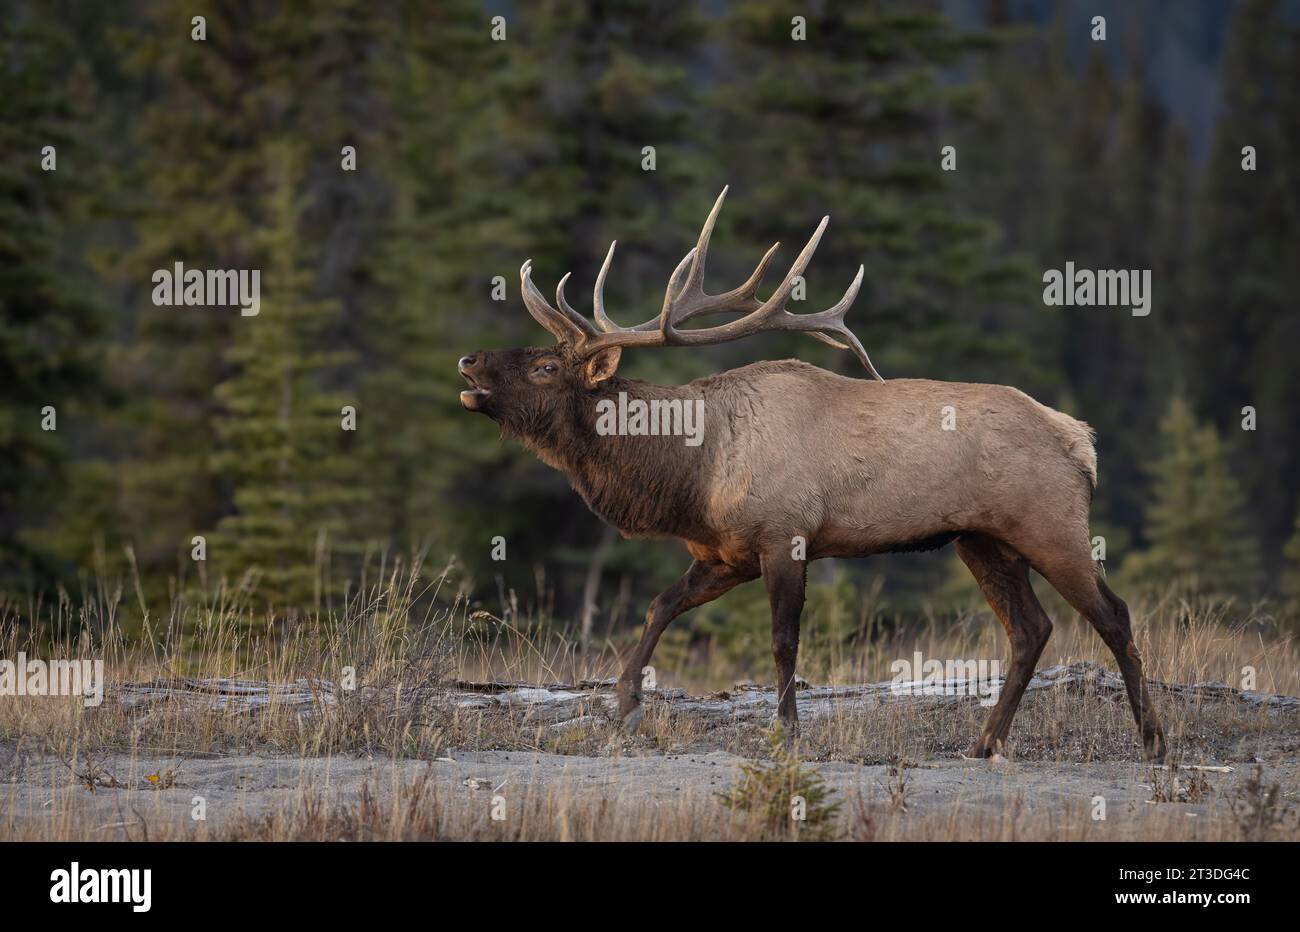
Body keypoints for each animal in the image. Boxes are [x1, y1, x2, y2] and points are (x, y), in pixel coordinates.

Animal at [457, 188, 1166, 761]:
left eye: (546, 367)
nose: (467, 361)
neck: (693, 471)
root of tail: (1081, 441)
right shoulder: (725, 552)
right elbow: (660, 605)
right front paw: (626, 706)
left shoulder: (785, 534)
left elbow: (783, 641)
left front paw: (786, 731)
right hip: (983, 539)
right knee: (1031, 628)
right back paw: (986, 741)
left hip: (1049, 523)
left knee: (1113, 614)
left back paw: (1153, 741)